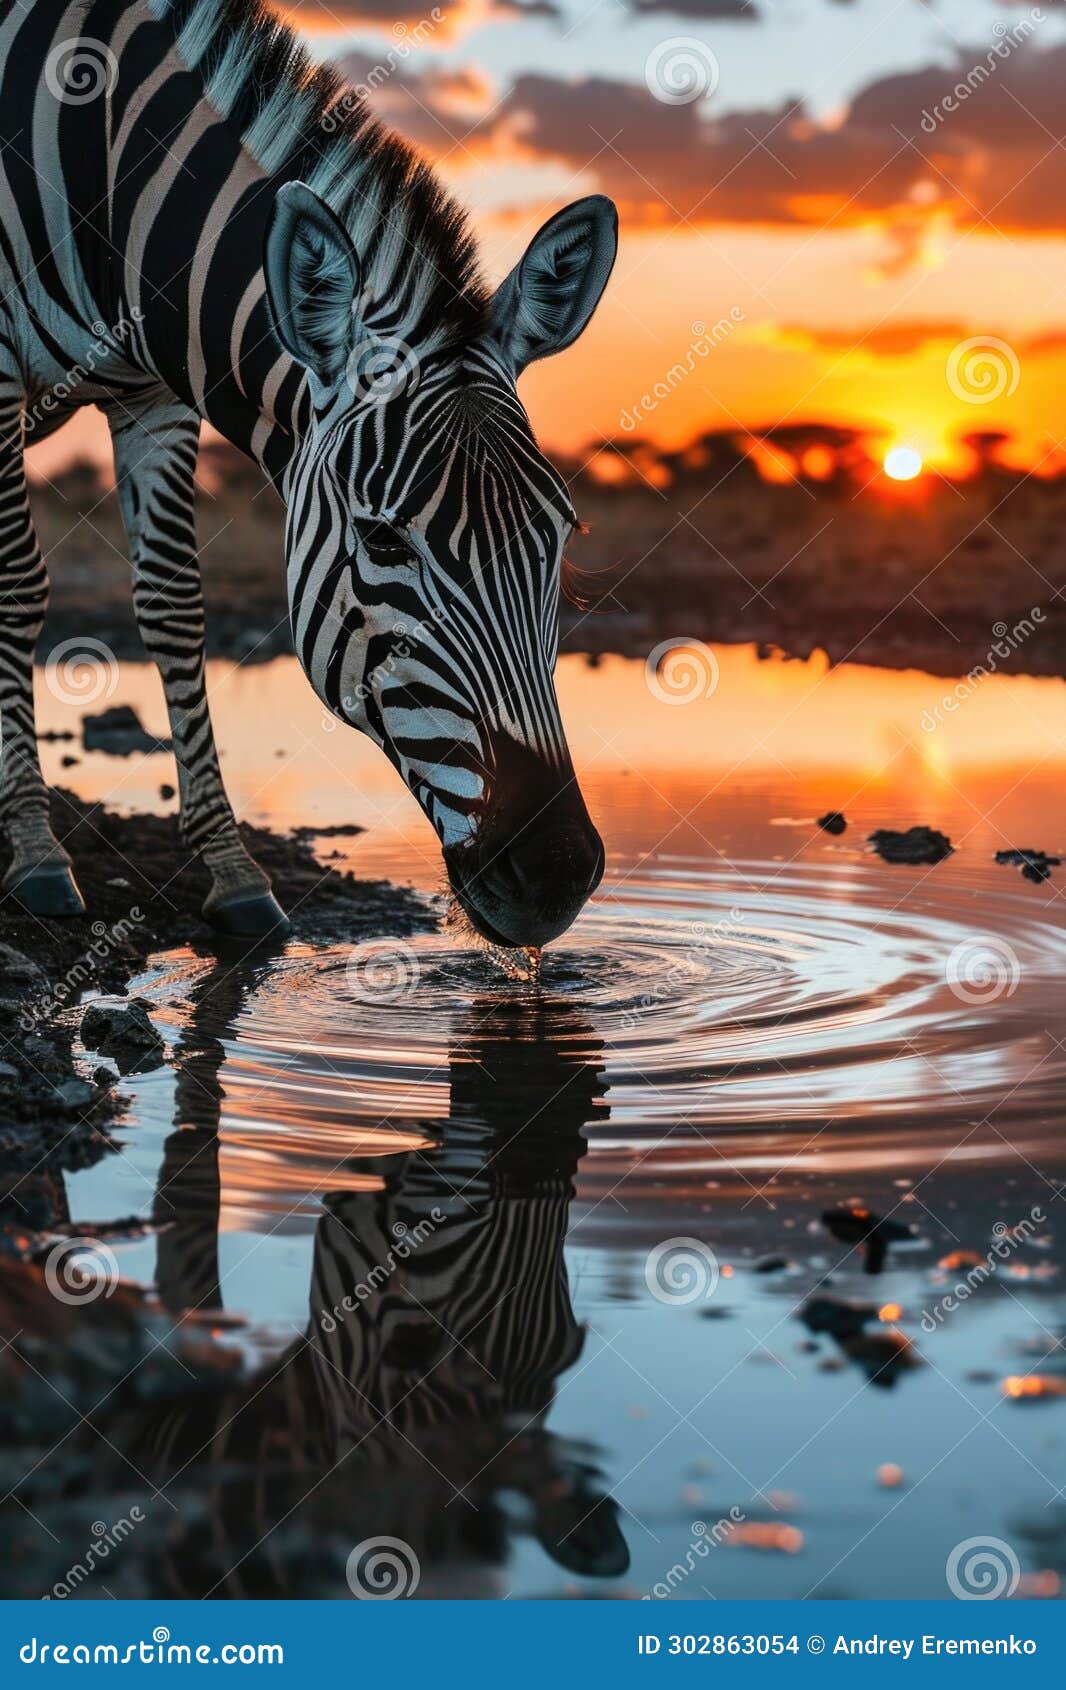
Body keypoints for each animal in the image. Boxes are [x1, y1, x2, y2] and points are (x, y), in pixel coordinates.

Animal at [0, 0, 617, 943]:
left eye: (561, 533)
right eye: (382, 541)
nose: (554, 875)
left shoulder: (155, 397)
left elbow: (174, 605)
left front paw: (232, 872)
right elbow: (21, 589)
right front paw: (35, 853)